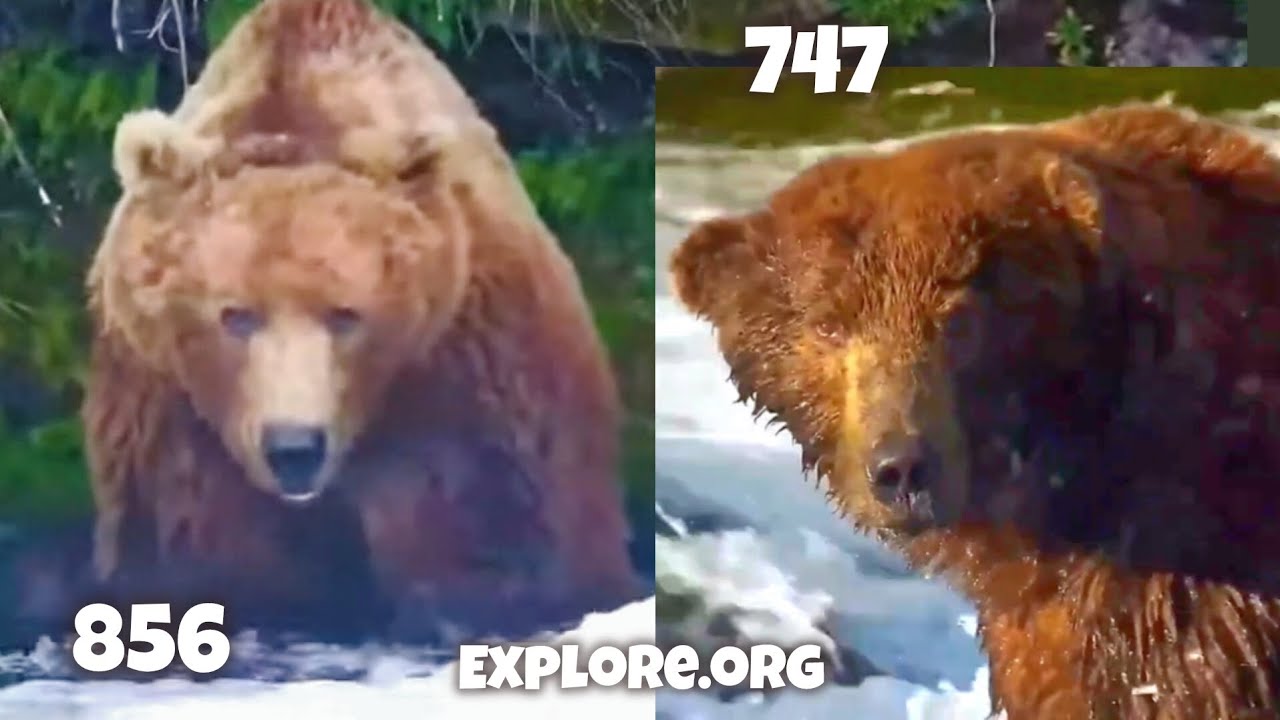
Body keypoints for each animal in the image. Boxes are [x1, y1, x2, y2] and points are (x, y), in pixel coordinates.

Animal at [81, 0, 638, 639]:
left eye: (344, 315)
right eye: (236, 315)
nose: (294, 447)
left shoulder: (470, 373)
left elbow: (512, 537)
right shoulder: (168, 410)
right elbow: (193, 552)